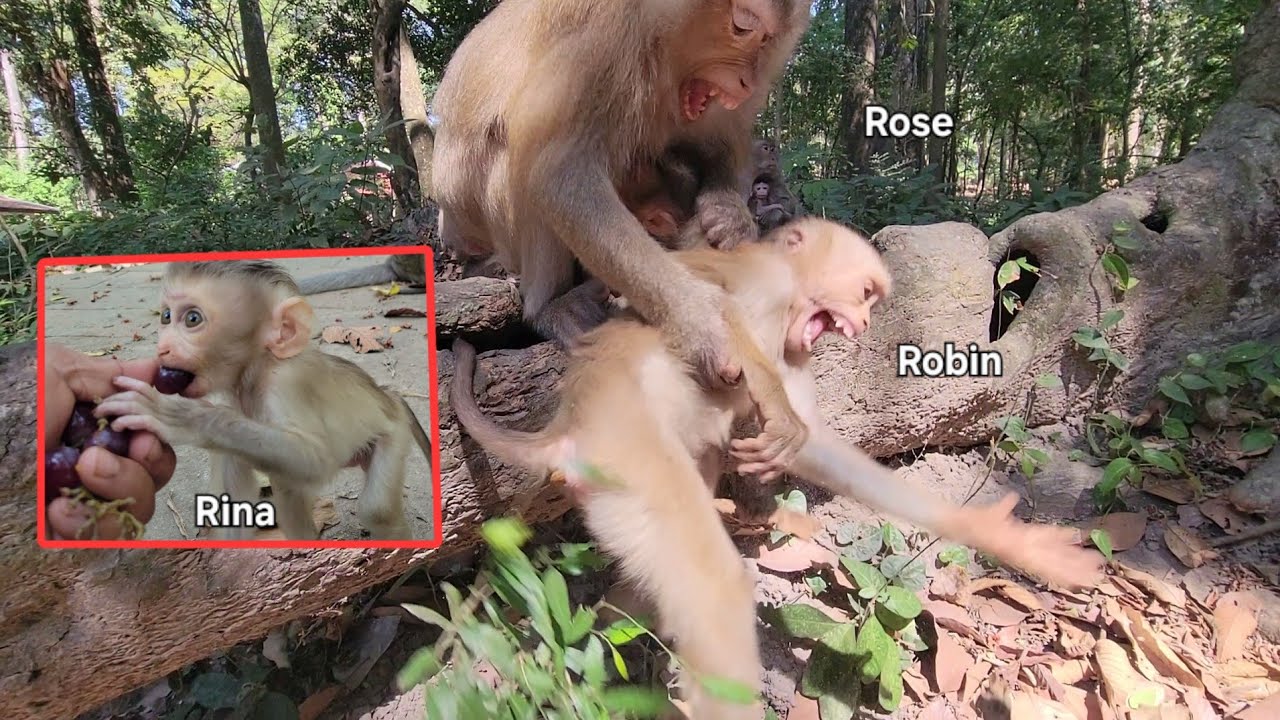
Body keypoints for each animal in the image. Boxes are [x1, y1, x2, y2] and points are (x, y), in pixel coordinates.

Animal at [95, 260, 434, 541]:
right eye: (166, 316)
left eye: (192, 319)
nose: (163, 348)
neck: (256, 369)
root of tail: (388, 396)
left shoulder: (287, 382)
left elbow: (316, 458)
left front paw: (186, 419)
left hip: (393, 435)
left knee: (376, 510)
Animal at [431, 0, 812, 396]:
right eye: (742, 28)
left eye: (767, 40)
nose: (747, 82)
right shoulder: (603, 41)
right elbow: (559, 172)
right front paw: (699, 320)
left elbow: (721, 137)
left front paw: (728, 215)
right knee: (525, 153)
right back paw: (551, 305)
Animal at [450, 218, 1104, 718]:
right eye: (865, 291)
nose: (865, 323)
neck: (787, 303)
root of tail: (569, 429)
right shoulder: (758, 280)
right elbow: (703, 302)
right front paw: (776, 412)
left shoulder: (795, 348)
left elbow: (814, 445)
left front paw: (1000, 536)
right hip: (631, 462)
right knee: (711, 584)